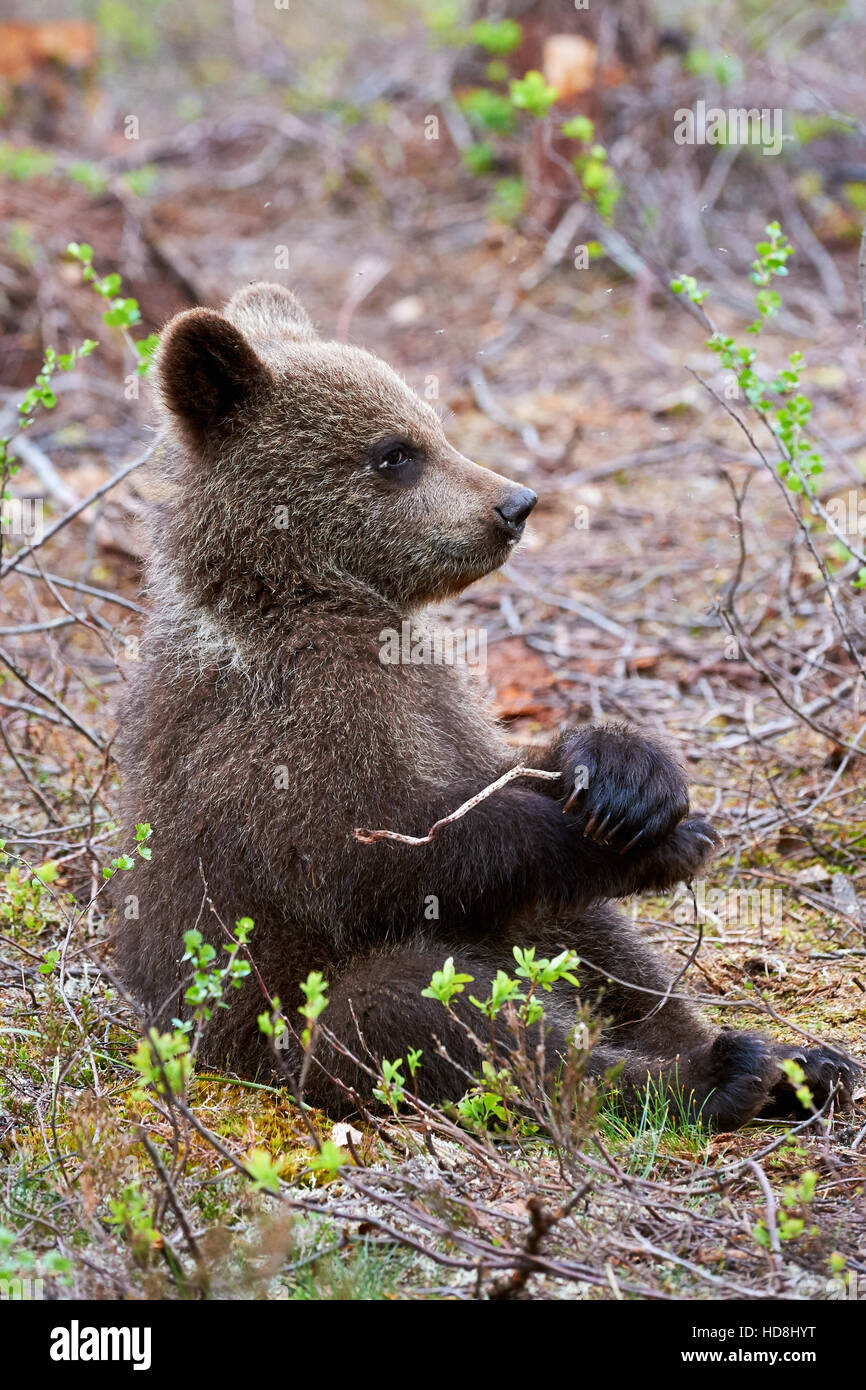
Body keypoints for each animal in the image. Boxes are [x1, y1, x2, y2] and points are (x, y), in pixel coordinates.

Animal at [114, 282, 859, 1130]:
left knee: (600, 949)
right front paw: (659, 840)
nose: (516, 503)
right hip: (283, 1026)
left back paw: (797, 1065)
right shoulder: (280, 722)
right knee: (439, 1012)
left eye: (433, 427)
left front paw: (628, 771)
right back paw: (710, 1076)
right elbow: (367, 852)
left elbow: (496, 771)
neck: (307, 593)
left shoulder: (435, 694)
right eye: (395, 452)